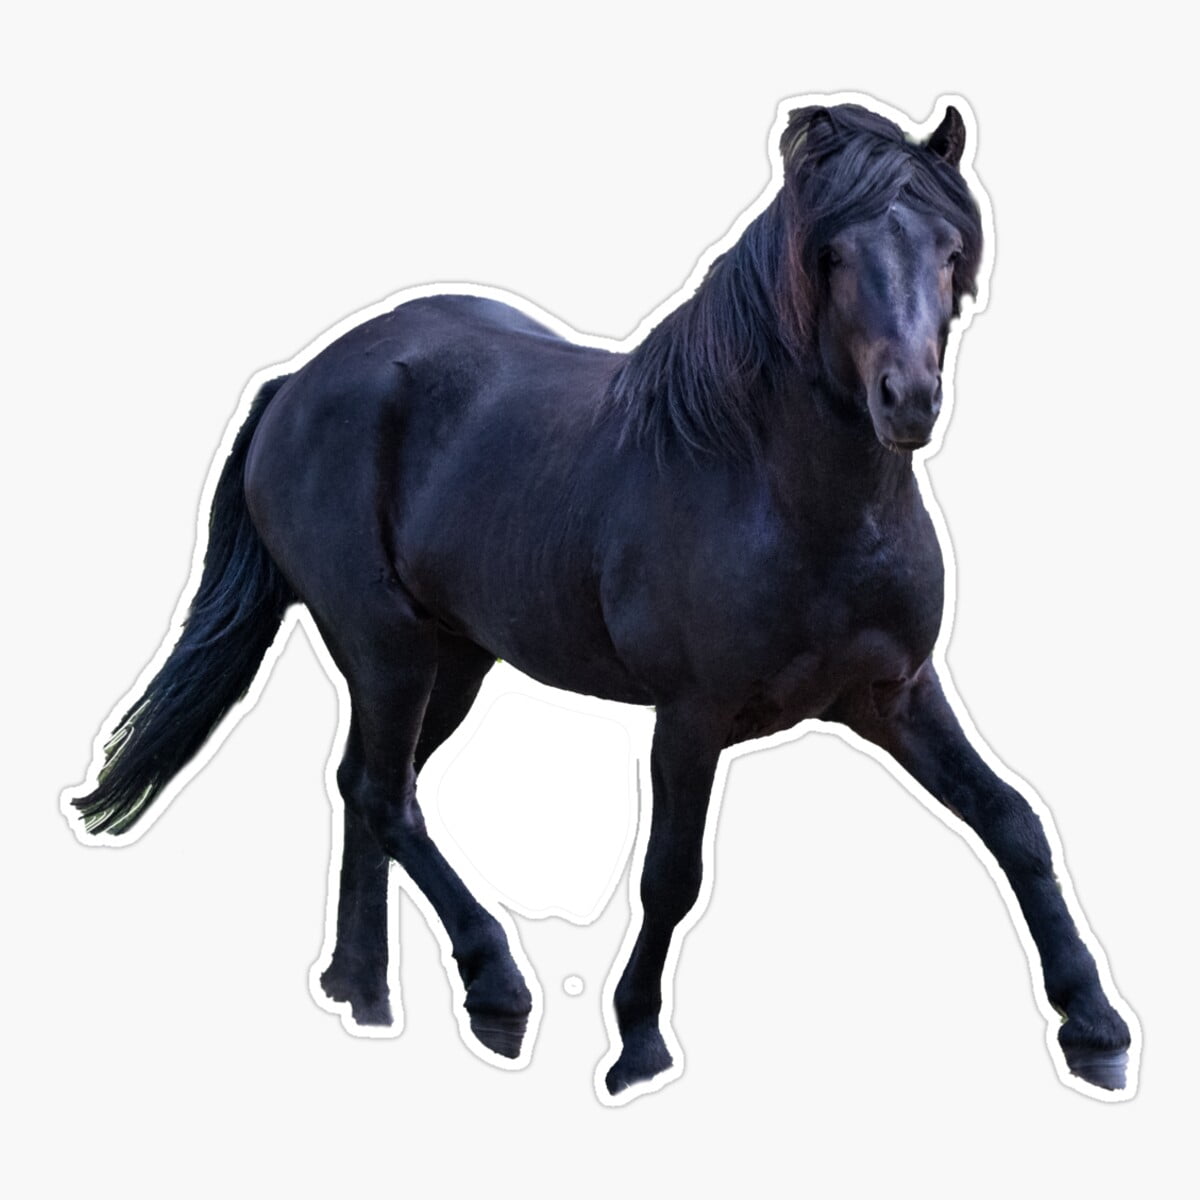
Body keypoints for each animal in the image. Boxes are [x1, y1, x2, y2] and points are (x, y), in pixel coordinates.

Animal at [66, 100, 1135, 1099]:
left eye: (951, 251)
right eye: (830, 255)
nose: (906, 399)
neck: (785, 497)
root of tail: (299, 382)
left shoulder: (893, 695)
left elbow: (1015, 824)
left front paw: (1096, 1028)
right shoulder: (692, 716)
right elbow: (671, 876)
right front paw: (637, 1041)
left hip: (453, 661)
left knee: (368, 791)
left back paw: (365, 993)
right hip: (386, 646)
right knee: (384, 796)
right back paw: (493, 986)